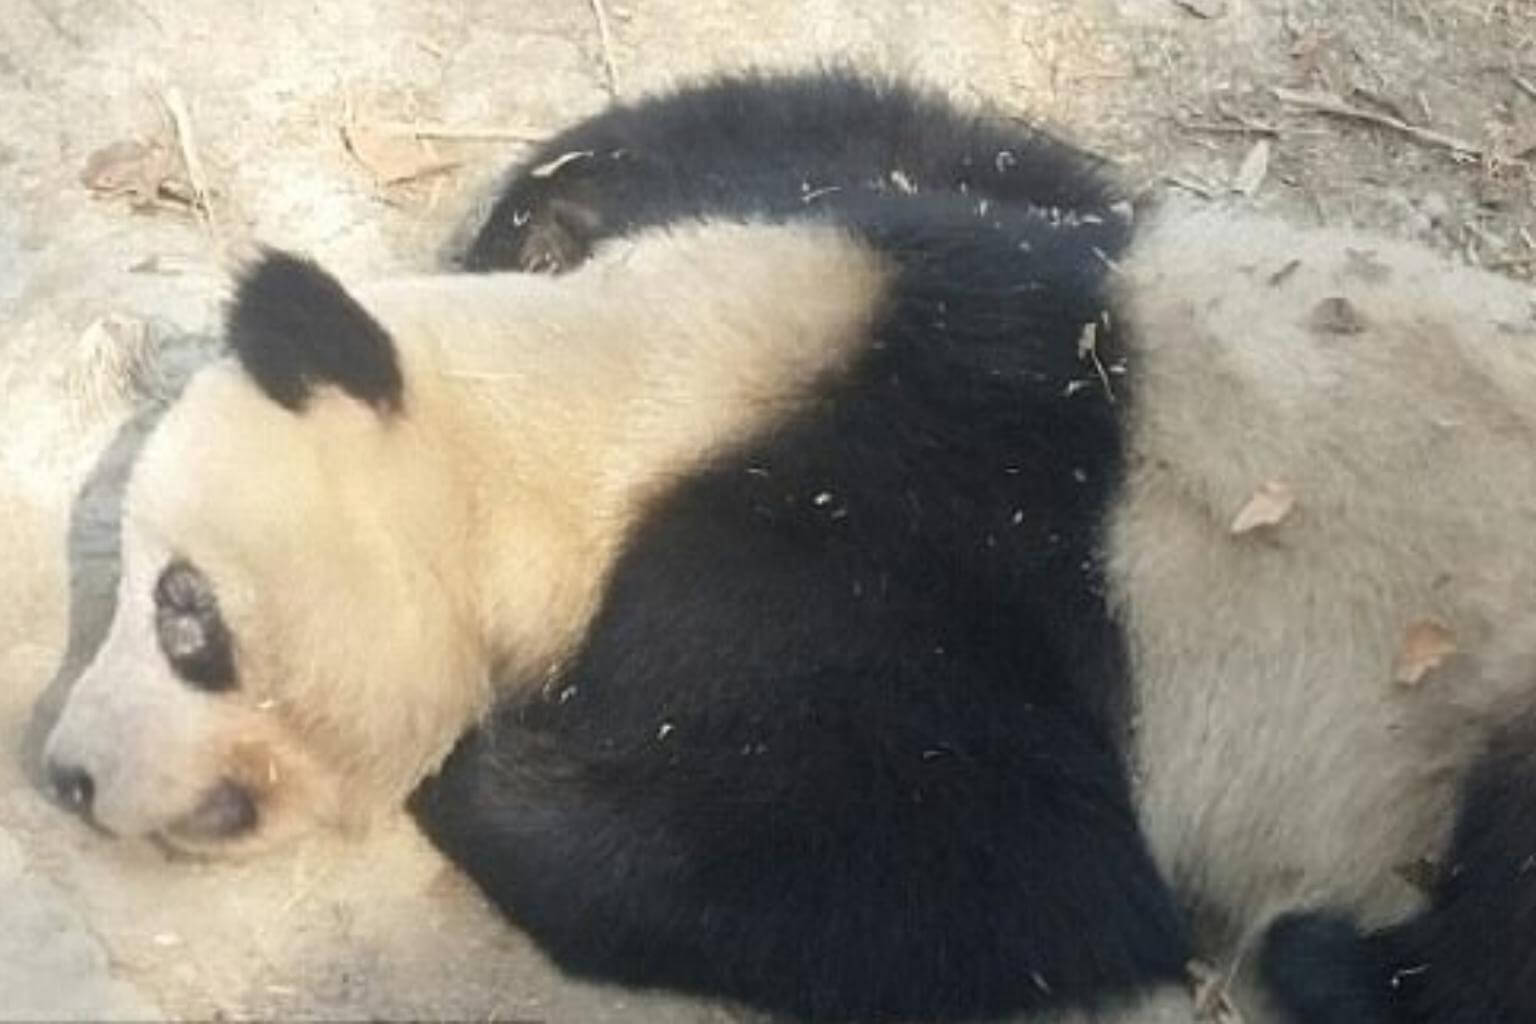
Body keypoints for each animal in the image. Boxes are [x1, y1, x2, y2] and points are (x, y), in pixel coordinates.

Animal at [36, 70, 1536, 1023]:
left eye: (185, 616)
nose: (62, 770)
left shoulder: (860, 544)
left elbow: (1002, 867)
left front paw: (487, 770)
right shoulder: (869, 221)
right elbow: (872, 132)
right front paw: (541, 214)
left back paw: (1340, 965)